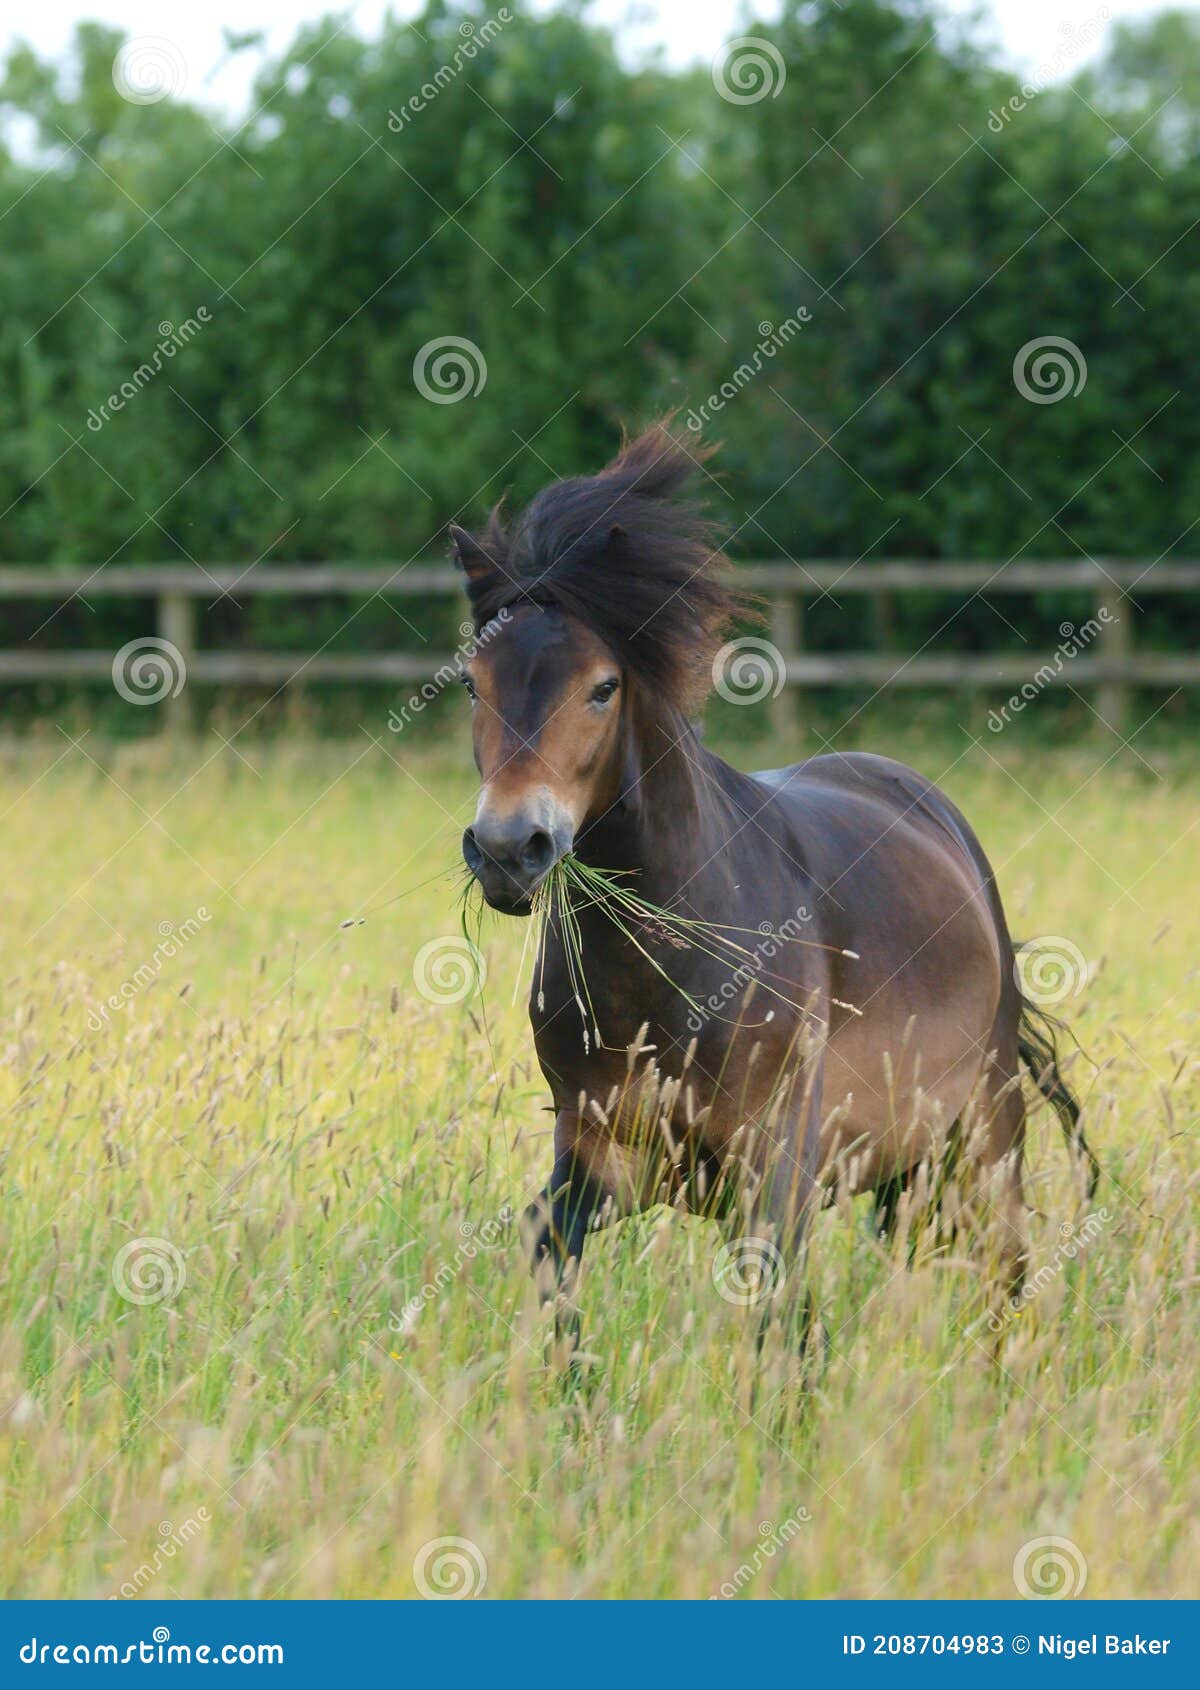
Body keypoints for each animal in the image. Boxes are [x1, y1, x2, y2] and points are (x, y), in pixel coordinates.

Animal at [451, 423, 1098, 1343]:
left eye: (603, 688)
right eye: (473, 684)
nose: (510, 849)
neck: (664, 969)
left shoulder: (773, 1170)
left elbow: (783, 1323)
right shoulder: (603, 1151)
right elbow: (552, 1257)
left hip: (984, 1134)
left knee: (1003, 1270)